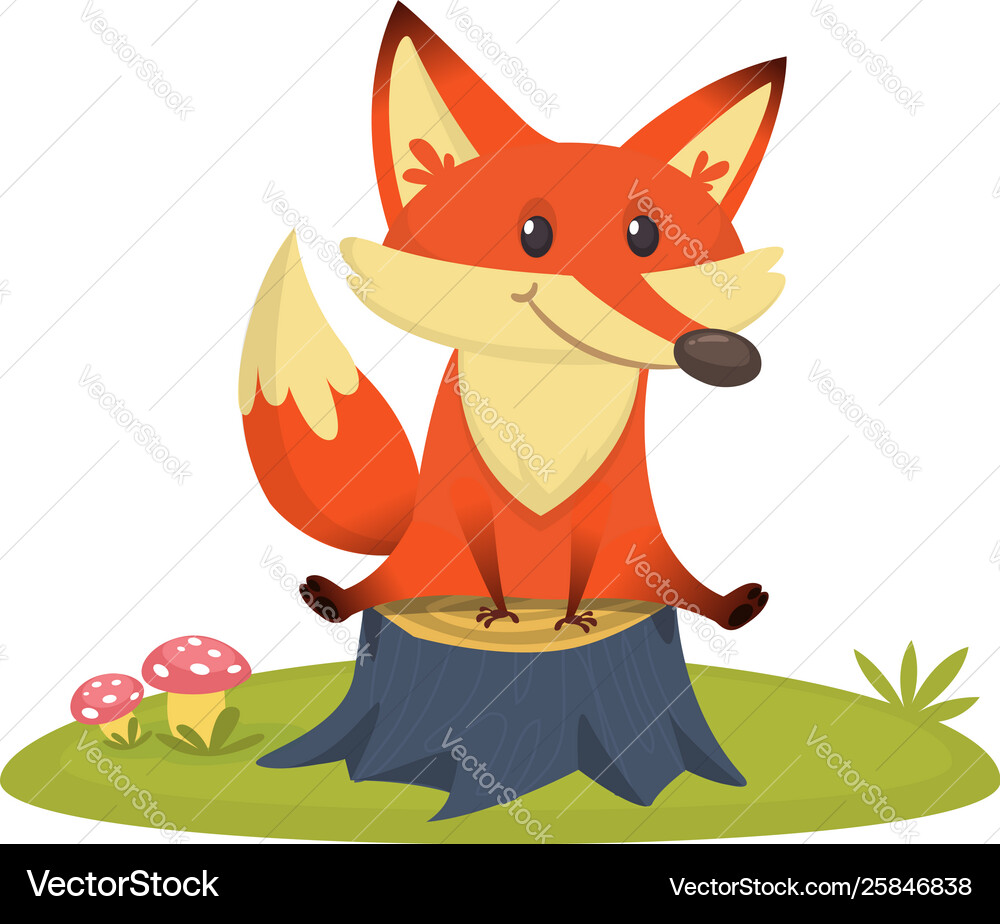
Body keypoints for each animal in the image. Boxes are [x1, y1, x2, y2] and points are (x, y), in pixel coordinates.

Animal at [239, 4, 786, 641]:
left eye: (646, 235)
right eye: (533, 235)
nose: (721, 353)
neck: (544, 401)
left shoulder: (611, 505)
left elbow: (584, 568)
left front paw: (572, 617)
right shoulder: (464, 496)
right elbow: (488, 562)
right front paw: (501, 613)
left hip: (643, 553)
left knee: (677, 588)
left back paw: (726, 606)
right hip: (426, 548)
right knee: (391, 584)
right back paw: (340, 598)